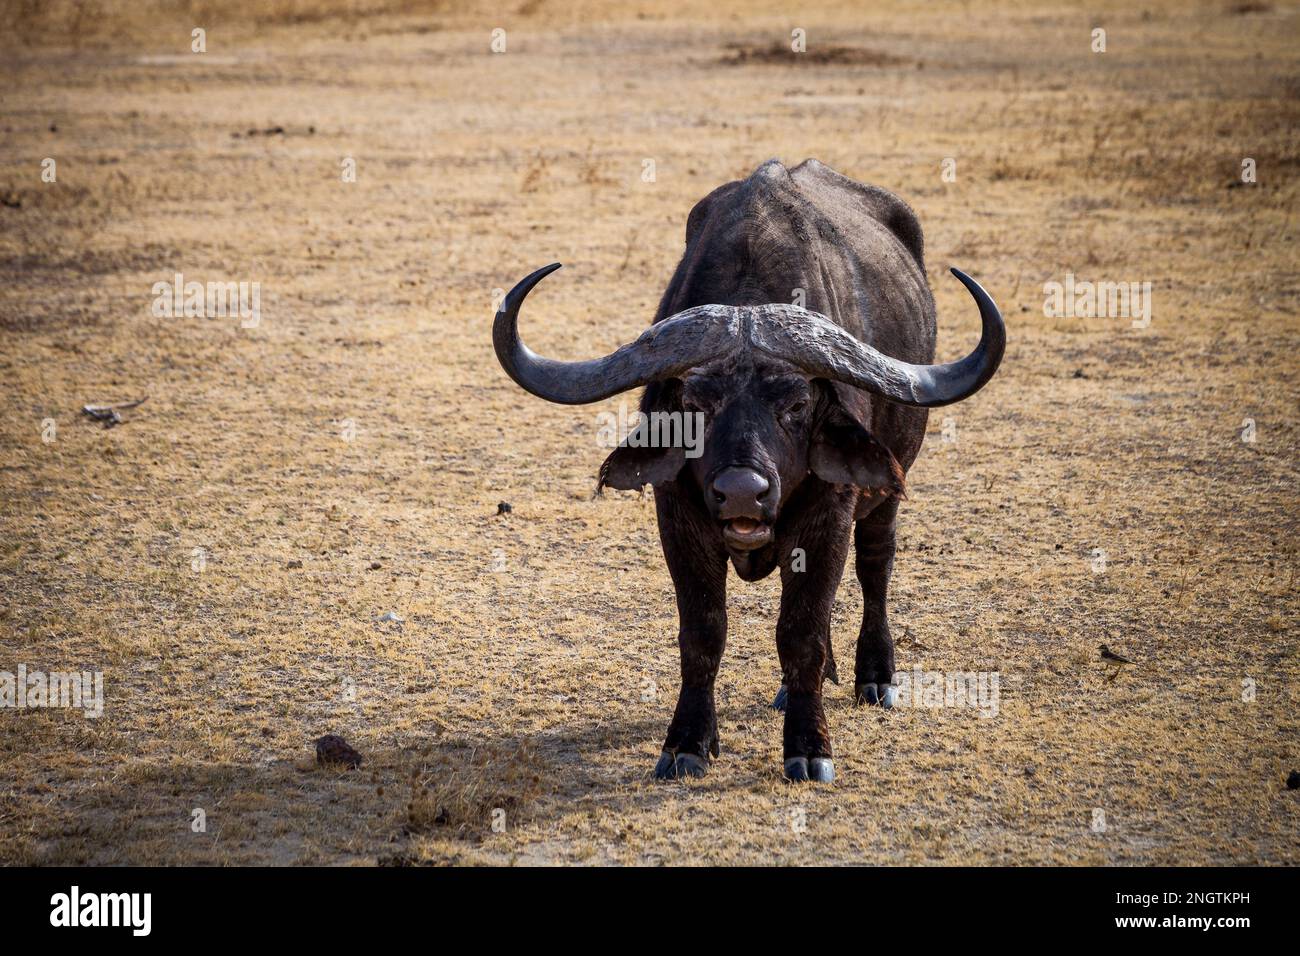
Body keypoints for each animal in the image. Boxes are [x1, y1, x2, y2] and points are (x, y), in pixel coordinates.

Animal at [493, 159, 1005, 782]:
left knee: (875, 566)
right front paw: (687, 743)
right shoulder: (678, 520)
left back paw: (874, 676)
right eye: (694, 405)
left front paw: (809, 747)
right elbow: (703, 633)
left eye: (797, 405)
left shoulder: (830, 517)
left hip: (889, 489)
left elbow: (801, 631)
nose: (742, 494)